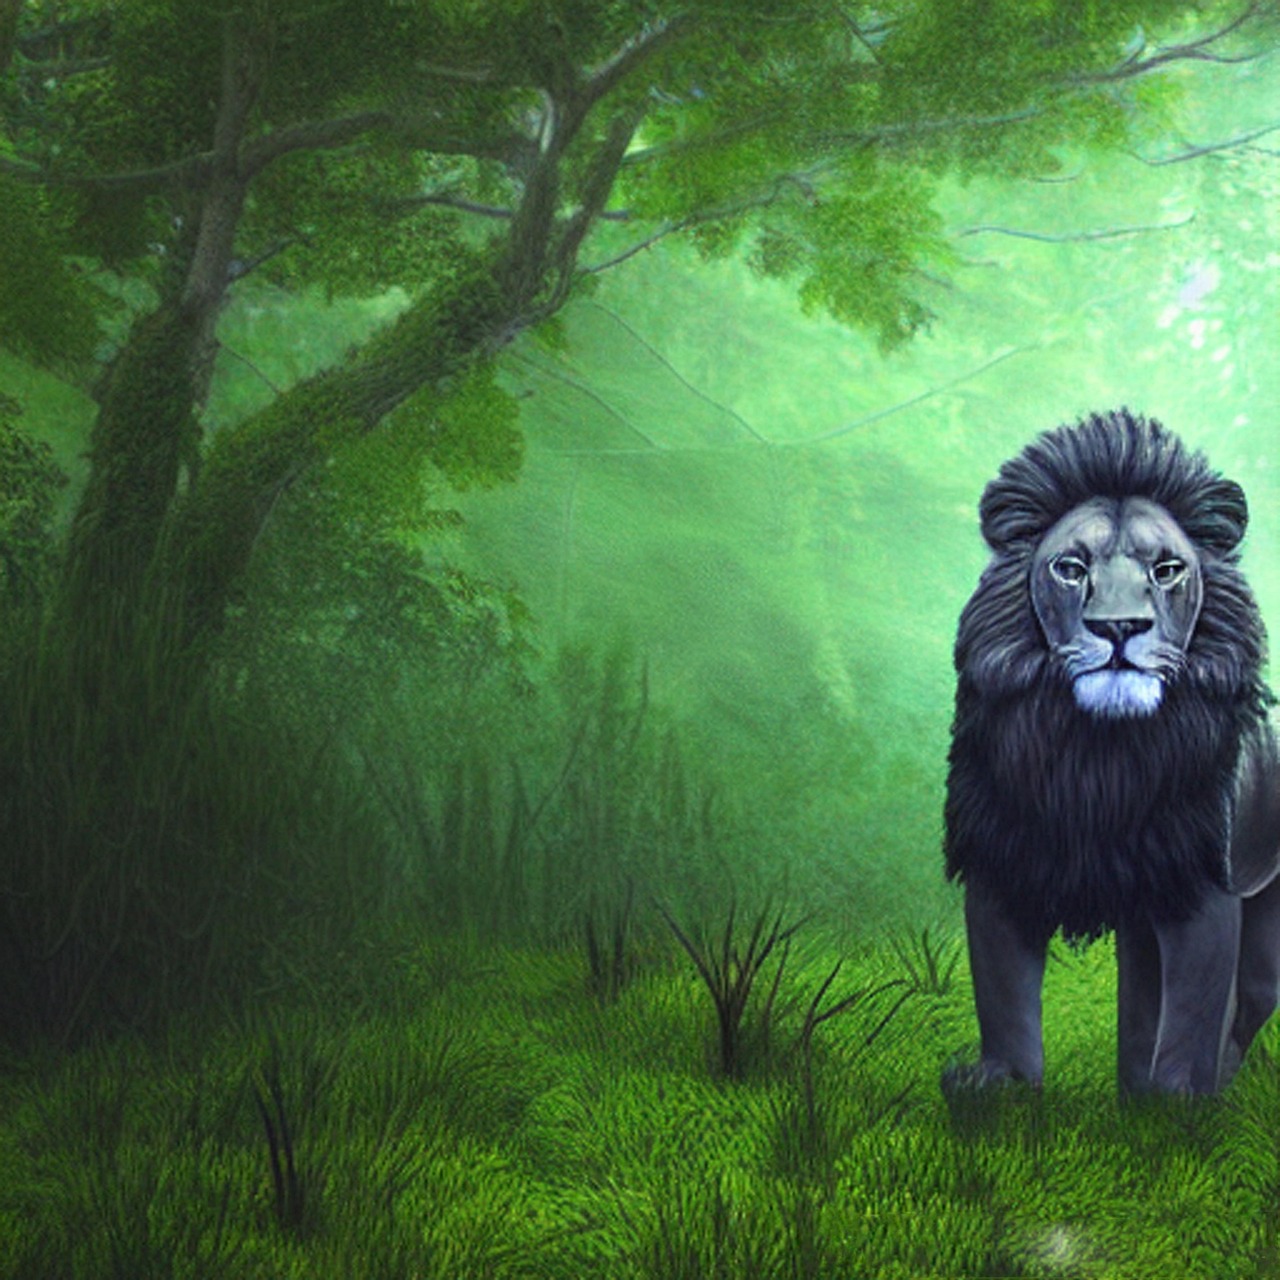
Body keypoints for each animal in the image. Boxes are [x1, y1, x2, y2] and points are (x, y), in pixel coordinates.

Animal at [943, 409, 1280, 1095]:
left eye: (1167, 569)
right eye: (1070, 568)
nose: (1119, 627)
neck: (1099, 756)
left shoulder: (1203, 885)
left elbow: (1192, 1022)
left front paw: (1180, 1108)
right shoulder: (1002, 857)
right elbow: (1004, 1001)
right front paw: (1002, 1089)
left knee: (1250, 1000)